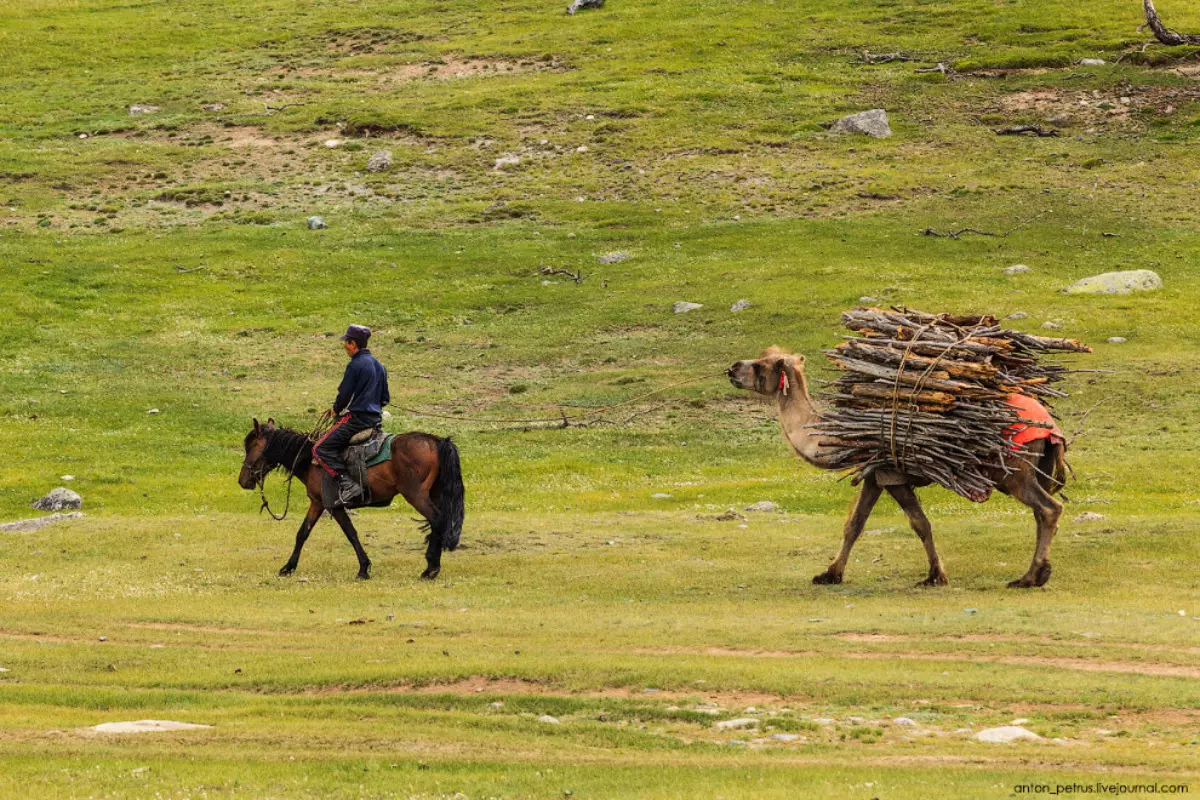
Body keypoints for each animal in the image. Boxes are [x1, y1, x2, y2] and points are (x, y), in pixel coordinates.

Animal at [237, 419, 463, 582]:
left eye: (251, 446)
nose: (243, 481)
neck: (309, 460)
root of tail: (436, 441)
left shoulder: (333, 505)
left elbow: (351, 533)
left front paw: (363, 569)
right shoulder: (318, 503)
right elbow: (302, 533)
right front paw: (288, 567)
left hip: (416, 495)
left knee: (437, 520)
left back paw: (430, 569)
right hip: (433, 493)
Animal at [729, 347, 1070, 587]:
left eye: (759, 365)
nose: (731, 368)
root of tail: (1051, 426)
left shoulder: (891, 474)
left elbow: (920, 524)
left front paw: (936, 576)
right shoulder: (874, 476)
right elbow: (854, 525)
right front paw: (829, 574)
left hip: (1013, 470)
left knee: (1049, 508)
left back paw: (1029, 578)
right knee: (1041, 511)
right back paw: (1037, 573)